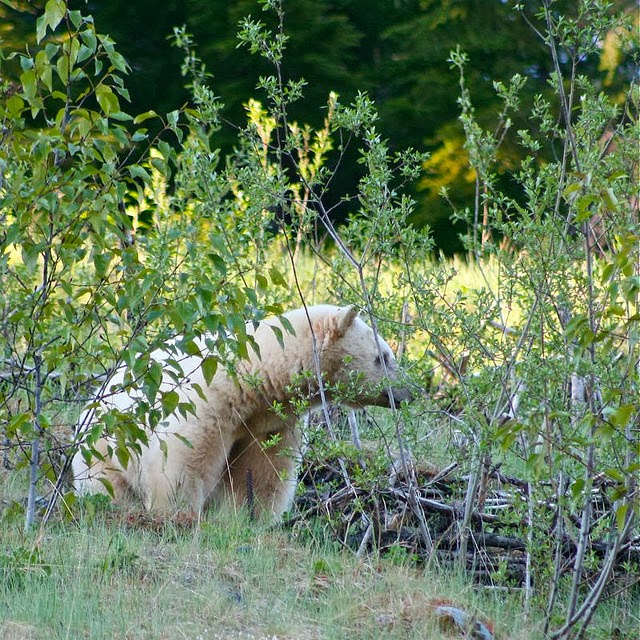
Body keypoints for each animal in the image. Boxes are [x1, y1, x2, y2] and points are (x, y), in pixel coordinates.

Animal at [72, 304, 412, 519]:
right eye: (383, 356)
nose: (406, 392)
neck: (252, 376)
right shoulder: (208, 404)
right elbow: (182, 464)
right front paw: (179, 513)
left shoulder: (271, 421)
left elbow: (262, 474)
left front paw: (245, 517)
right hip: (105, 452)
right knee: (108, 486)